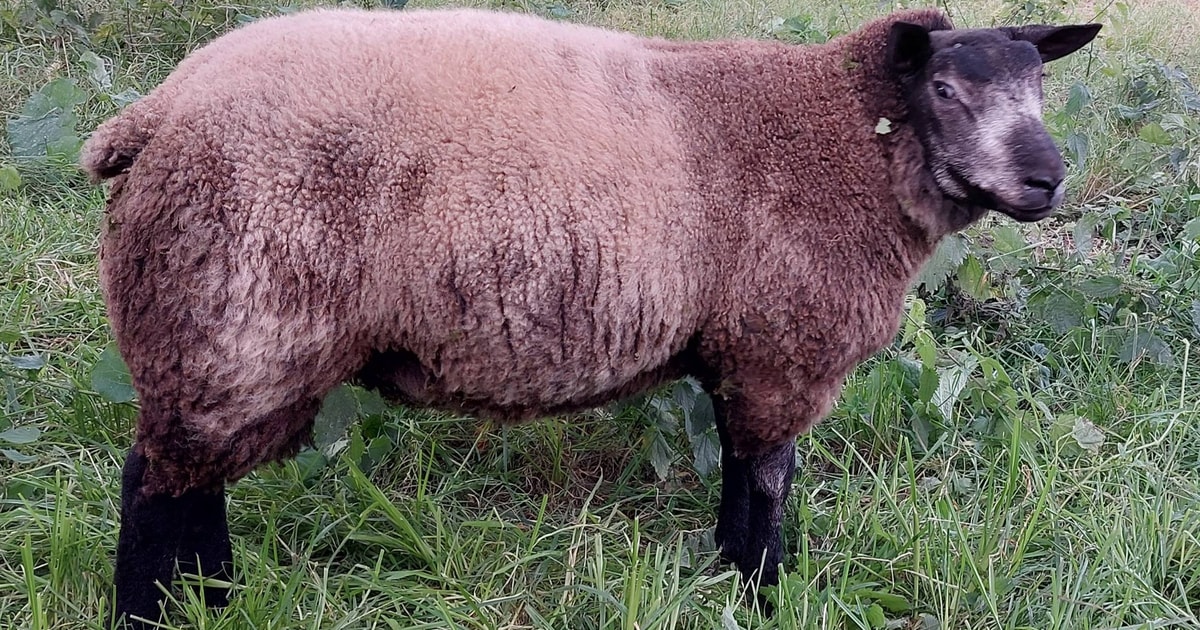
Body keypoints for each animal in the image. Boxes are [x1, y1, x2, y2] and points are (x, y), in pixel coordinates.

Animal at [80, 6, 1100, 627]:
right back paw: (158, 609)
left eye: (1041, 91)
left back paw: (211, 596)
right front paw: (763, 587)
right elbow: (767, 481)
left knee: (188, 481)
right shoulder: (781, 346)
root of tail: (154, 113)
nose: (1047, 179)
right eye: (945, 92)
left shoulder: (747, 349)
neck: (840, 134)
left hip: (216, 331)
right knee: (156, 484)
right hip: (231, 316)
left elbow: (747, 474)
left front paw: (731, 574)